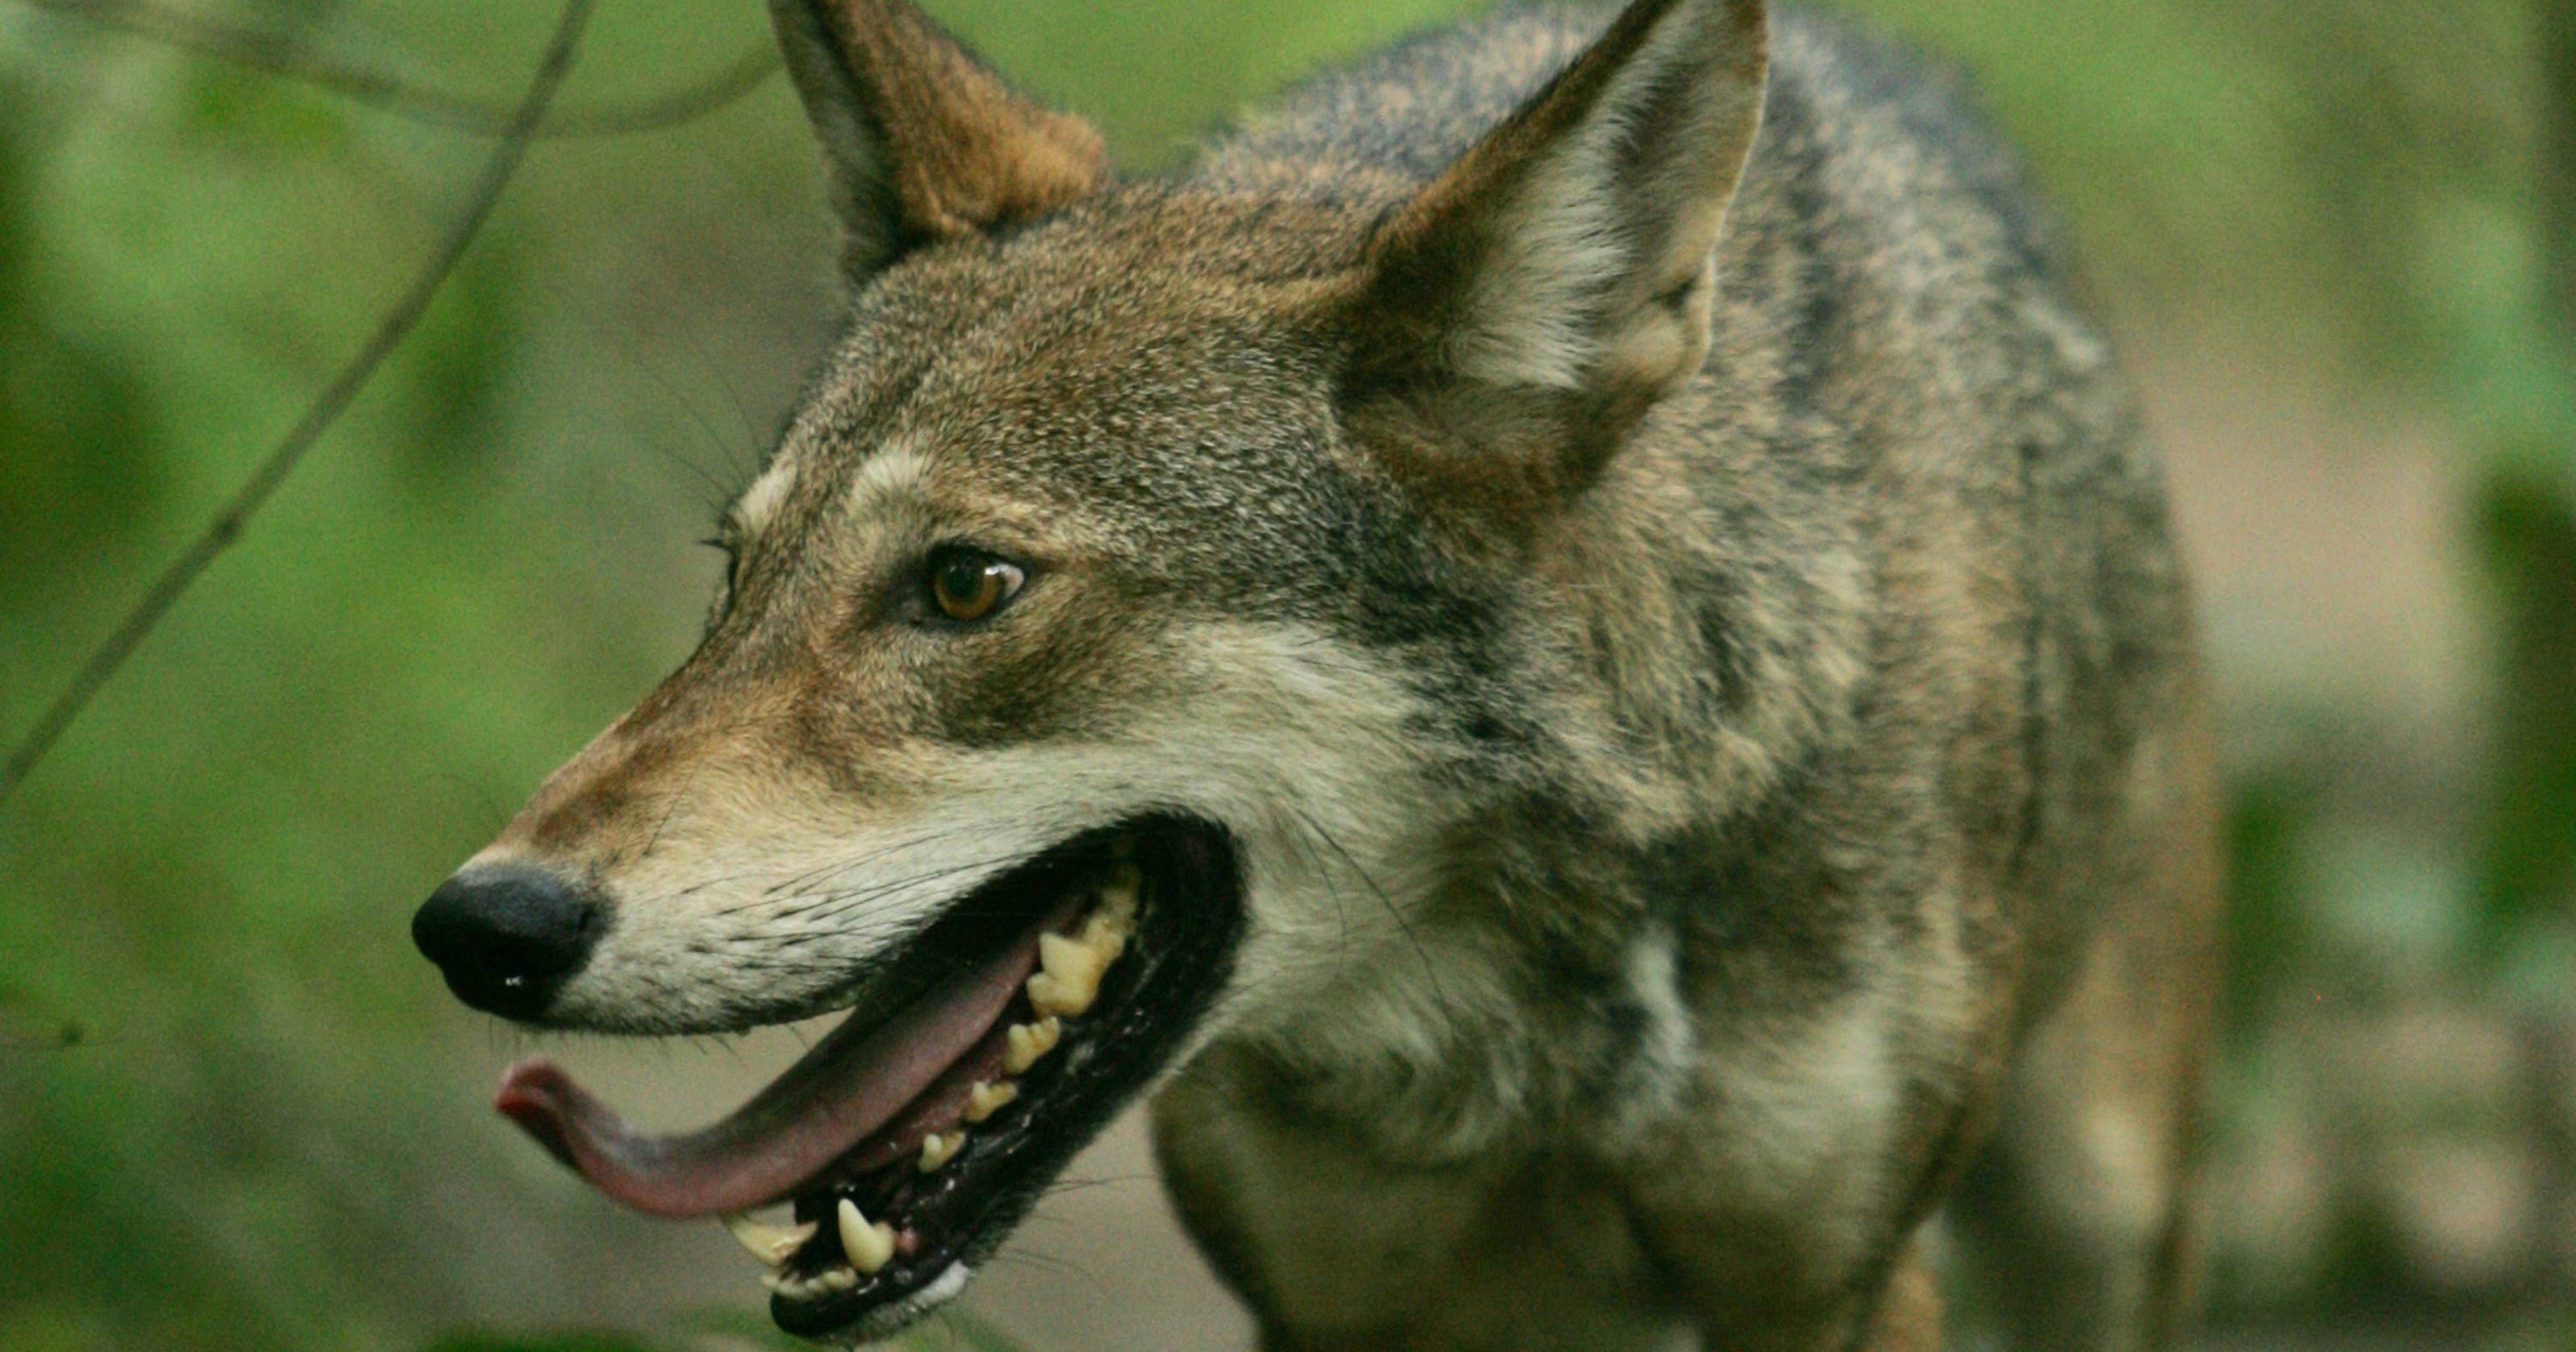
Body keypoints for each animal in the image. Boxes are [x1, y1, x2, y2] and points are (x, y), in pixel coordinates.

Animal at [409, 0, 2220, 1347]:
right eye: (740, 575)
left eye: (967, 587)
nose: (479, 924)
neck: (1527, 1027)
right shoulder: (1332, 1303)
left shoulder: (1832, 1291)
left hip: (2095, 1213)